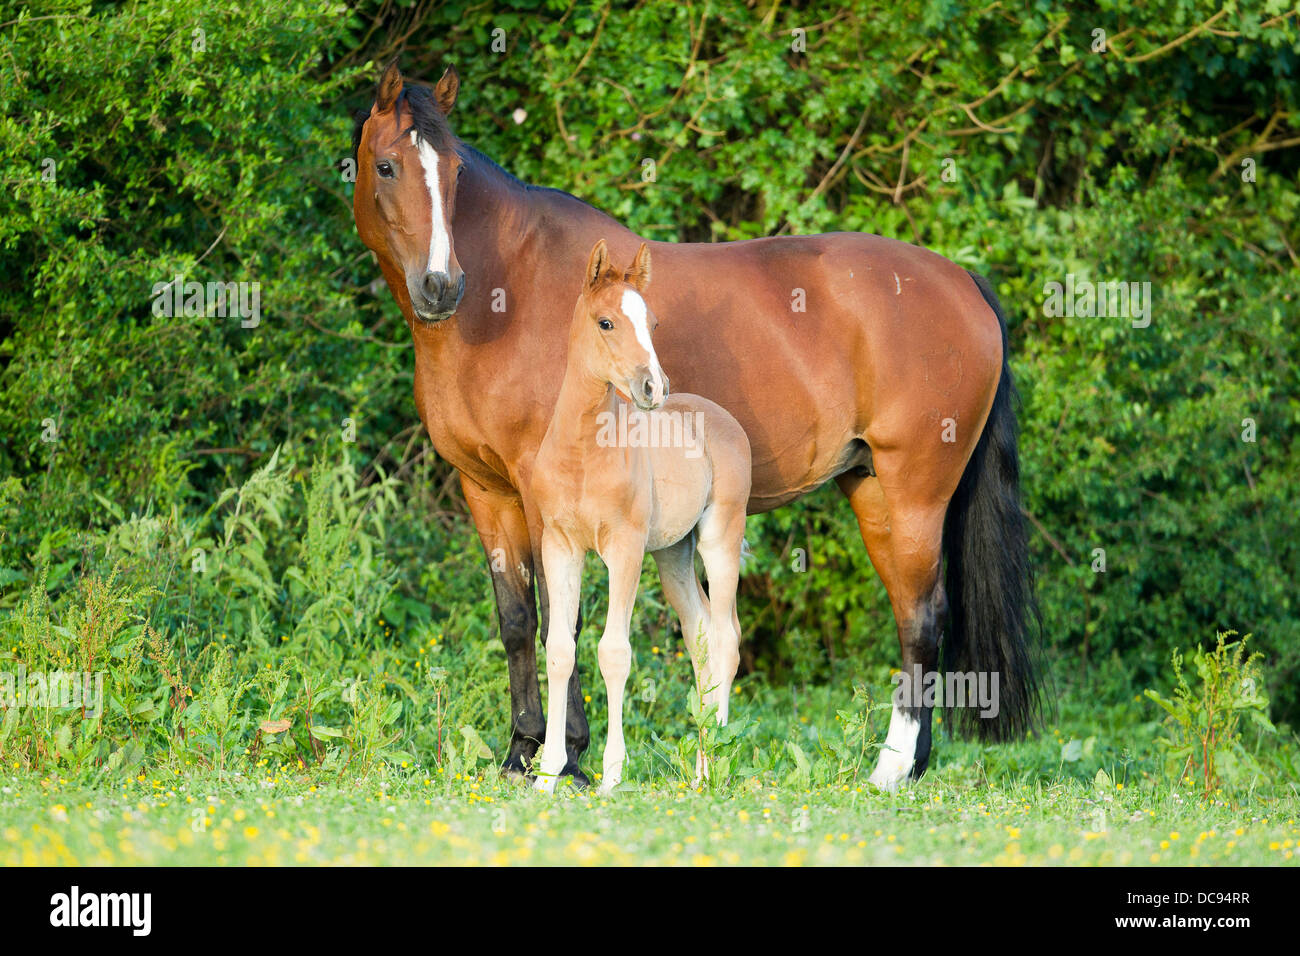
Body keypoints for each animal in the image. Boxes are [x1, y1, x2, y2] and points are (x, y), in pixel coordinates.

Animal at [530, 239, 751, 794]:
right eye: (606, 322)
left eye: (652, 322)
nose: (654, 387)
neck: (583, 452)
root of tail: (722, 418)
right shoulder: (559, 546)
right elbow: (560, 650)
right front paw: (547, 774)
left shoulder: (624, 549)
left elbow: (614, 652)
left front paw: (611, 774)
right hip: (674, 554)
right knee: (699, 639)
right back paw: (699, 768)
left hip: (719, 538)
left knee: (726, 637)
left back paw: (718, 758)